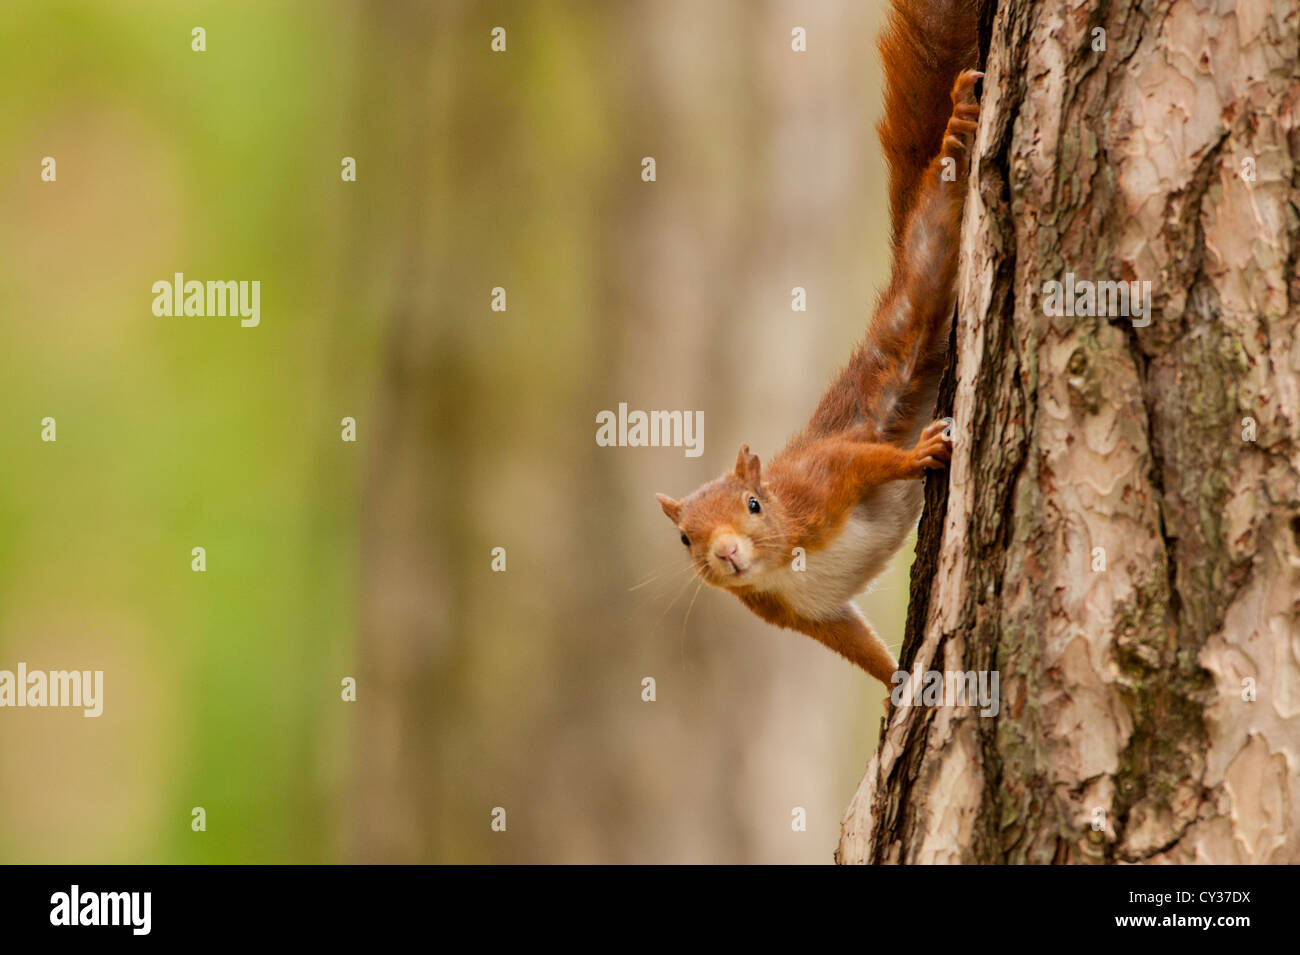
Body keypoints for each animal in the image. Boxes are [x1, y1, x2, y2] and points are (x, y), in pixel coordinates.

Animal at [655, 1, 982, 689]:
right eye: (684, 540)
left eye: (754, 503)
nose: (726, 552)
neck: (780, 562)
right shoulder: (806, 615)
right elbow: (859, 646)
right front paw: (897, 690)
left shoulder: (821, 482)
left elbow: (863, 459)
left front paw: (918, 456)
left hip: (923, 278)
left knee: (935, 214)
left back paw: (956, 133)